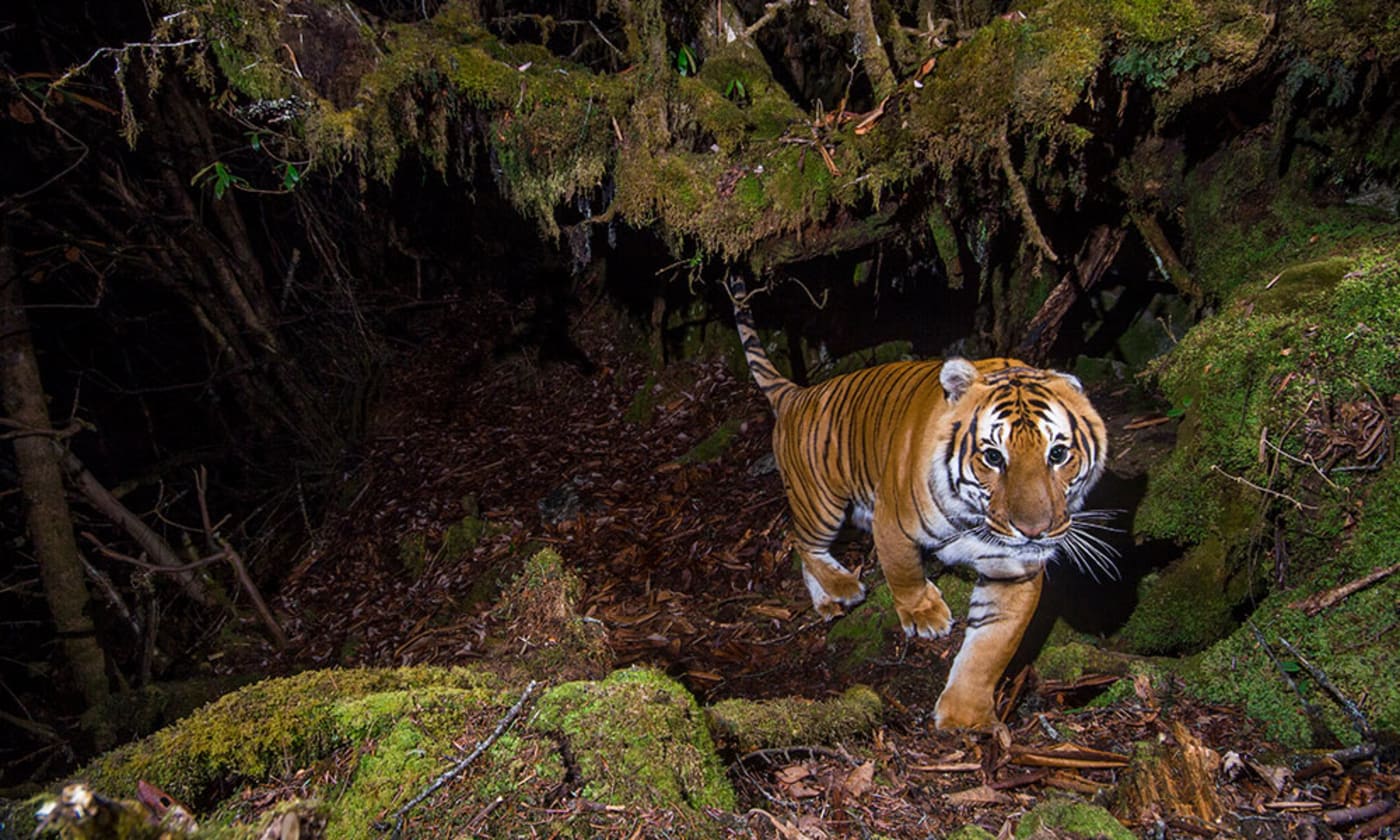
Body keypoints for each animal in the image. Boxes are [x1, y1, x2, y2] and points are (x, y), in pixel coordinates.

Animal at [728, 275, 1114, 729]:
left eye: (1057, 453)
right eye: (993, 457)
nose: (1033, 531)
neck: (976, 517)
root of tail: (796, 394)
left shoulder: (1015, 568)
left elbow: (993, 644)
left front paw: (965, 715)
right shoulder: (893, 522)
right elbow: (904, 572)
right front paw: (925, 616)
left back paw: (827, 601)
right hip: (822, 503)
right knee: (801, 540)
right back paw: (842, 586)